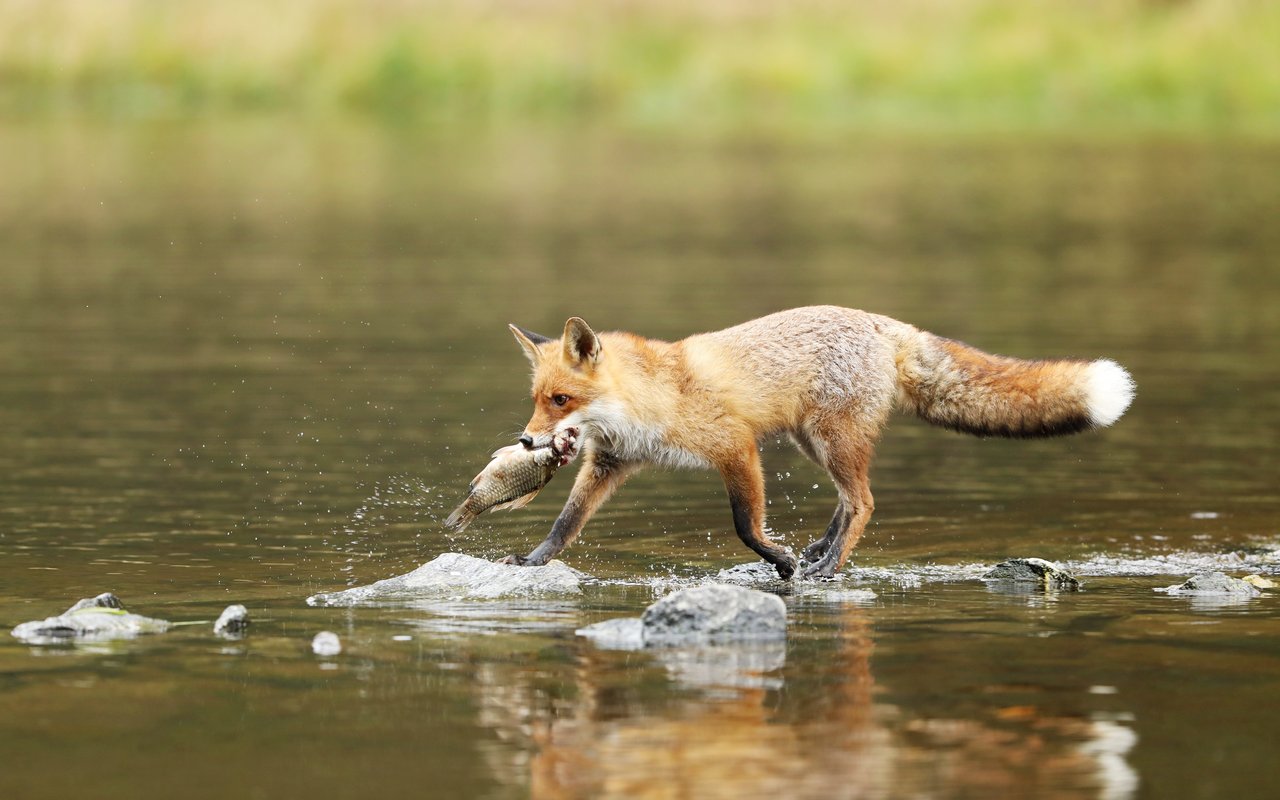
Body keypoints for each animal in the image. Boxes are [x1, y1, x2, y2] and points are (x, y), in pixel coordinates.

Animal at [499, 306, 1134, 580]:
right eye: (536, 398)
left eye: (561, 400)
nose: (527, 439)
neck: (651, 396)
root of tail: (884, 323)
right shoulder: (609, 463)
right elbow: (565, 524)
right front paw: (530, 560)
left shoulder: (736, 446)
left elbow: (745, 525)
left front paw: (778, 561)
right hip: (815, 443)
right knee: (848, 502)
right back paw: (821, 552)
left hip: (832, 440)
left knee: (865, 503)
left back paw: (826, 566)